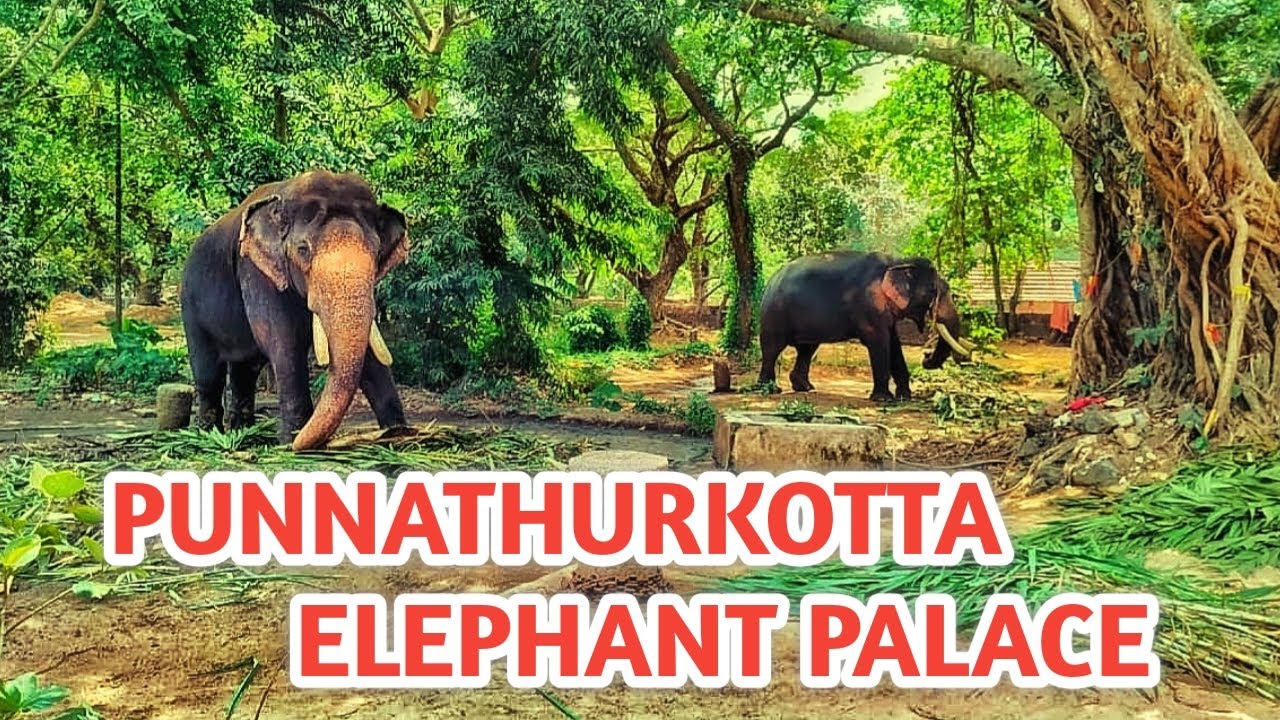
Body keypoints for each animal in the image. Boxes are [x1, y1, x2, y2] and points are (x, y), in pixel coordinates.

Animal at [179, 169, 411, 451]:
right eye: (303, 250)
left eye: (376, 252)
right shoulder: (256, 271)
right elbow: (284, 344)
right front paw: (292, 443)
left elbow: (369, 353)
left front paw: (398, 434)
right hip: (190, 306)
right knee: (208, 374)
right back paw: (207, 437)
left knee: (245, 371)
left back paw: (242, 435)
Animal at [756, 250, 974, 401]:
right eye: (932, 291)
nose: (926, 357)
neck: (897, 262)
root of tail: (770, 281)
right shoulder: (870, 305)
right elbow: (879, 343)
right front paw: (884, 399)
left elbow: (894, 344)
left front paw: (904, 396)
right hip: (774, 313)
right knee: (772, 348)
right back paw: (770, 389)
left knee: (807, 349)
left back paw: (805, 387)